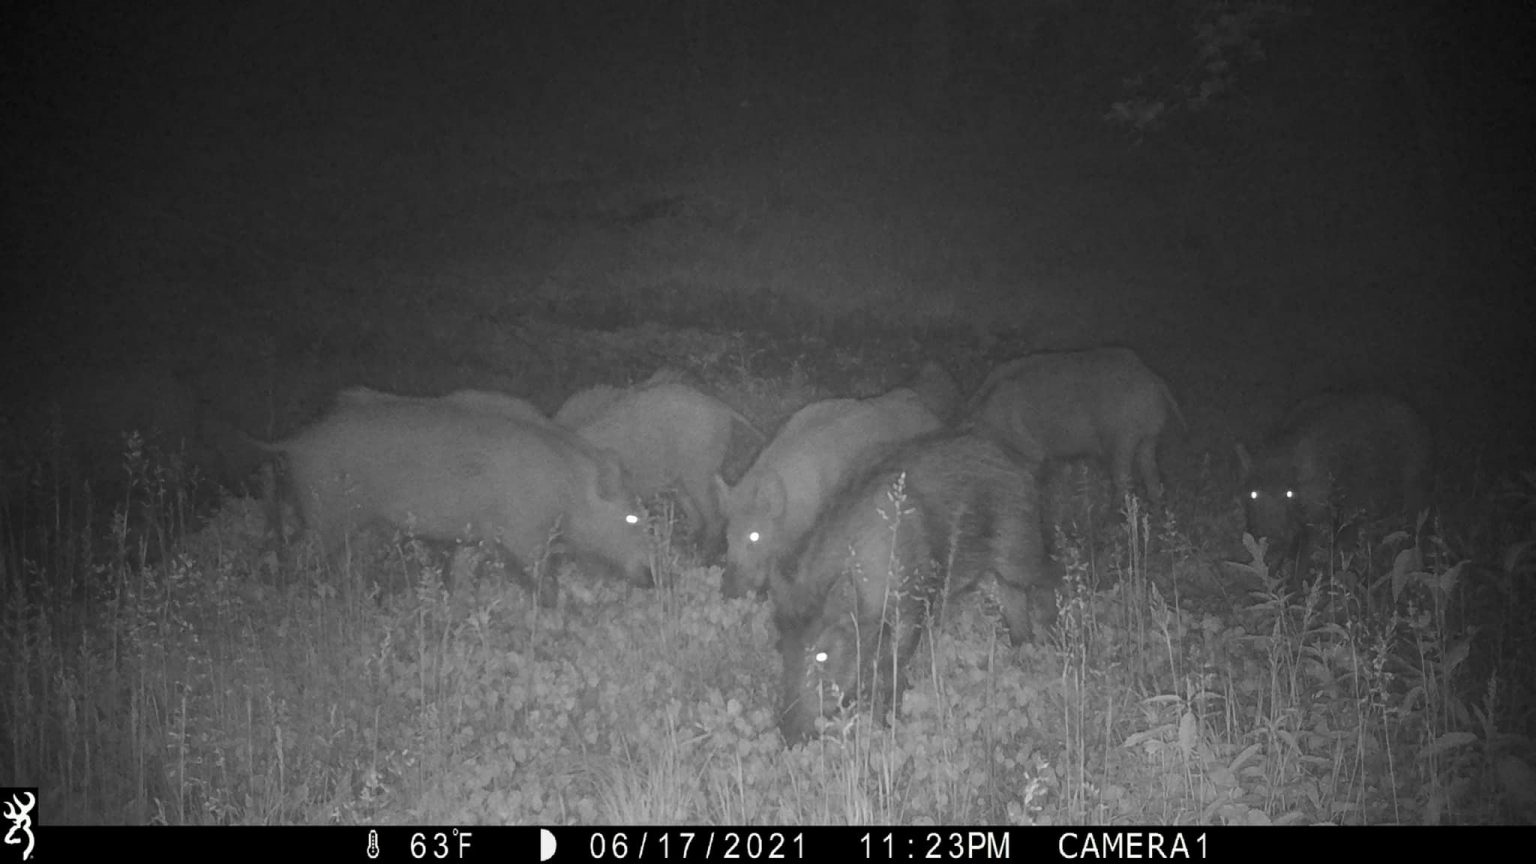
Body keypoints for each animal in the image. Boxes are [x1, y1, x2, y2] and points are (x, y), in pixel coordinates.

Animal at [250, 388, 653, 605]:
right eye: (631, 517)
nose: (652, 577)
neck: (565, 490)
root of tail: (295, 441)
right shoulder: (524, 534)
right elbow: (544, 576)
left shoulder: (482, 535)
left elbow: (461, 567)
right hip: (328, 511)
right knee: (299, 555)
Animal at [554, 375, 763, 558]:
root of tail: (722, 408)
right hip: (684, 478)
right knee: (702, 513)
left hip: (697, 473)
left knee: (714, 516)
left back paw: (702, 556)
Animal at [772, 432, 1058, 746]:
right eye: (782, 649)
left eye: (821, 654)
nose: (787, 734)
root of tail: (1025, 463)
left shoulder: (911, 609)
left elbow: (892, 667)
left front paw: (889, 723)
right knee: (1015, 605)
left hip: (1021, 549)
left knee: (1049, 579)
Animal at [964, 347, 1185, 504]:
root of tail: (1154, 380)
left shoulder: (1030, 452)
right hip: (1149, 436)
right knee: (1151, 473)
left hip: (1124, 436)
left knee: (1123, 477)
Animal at [1236, 392, 1432, 585]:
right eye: (1253, 494)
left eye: (1289, 494)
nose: (1270, 539)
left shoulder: (1315, 521)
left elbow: (1302, 561)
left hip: (1412, 489)